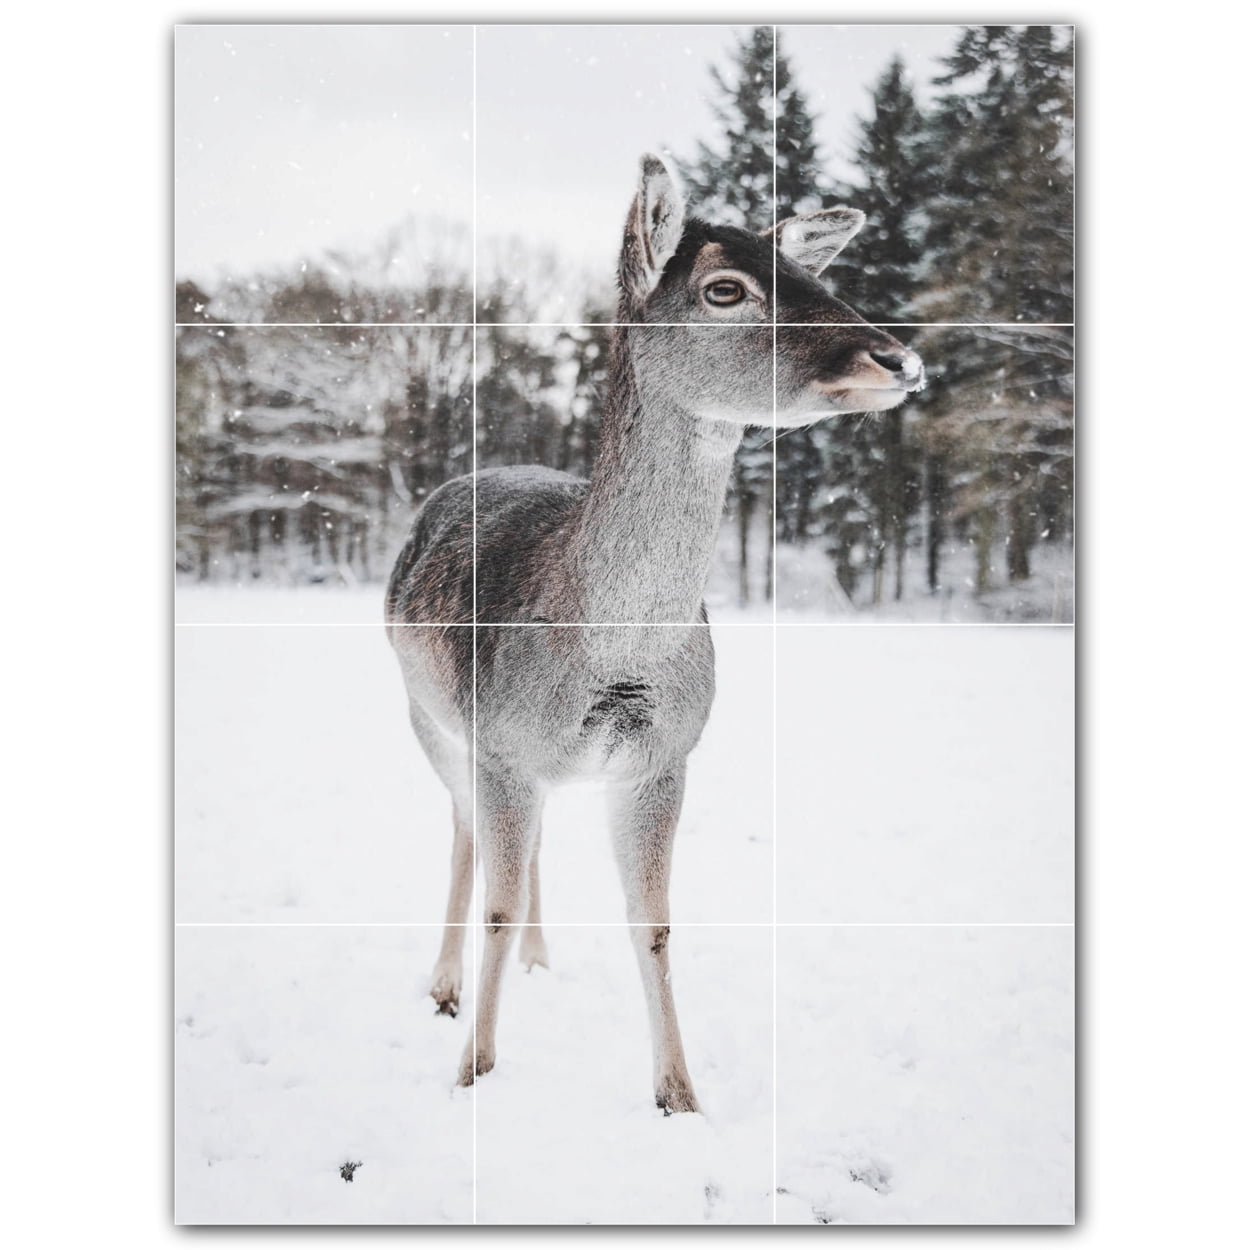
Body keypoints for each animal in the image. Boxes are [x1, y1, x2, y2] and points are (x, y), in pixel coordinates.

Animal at [385, 154, 924, 1114]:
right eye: (725, 288)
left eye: (817, 275)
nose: (898, 357)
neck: (615, 658)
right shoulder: (501, 746)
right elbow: (495, 900)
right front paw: (472, 1072)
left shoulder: (663, 756)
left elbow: (655, 921)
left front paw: (680, 1093)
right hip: (428, 717)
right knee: (463, 832)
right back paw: (444, 986)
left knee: (522, 851)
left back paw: (541, 958)